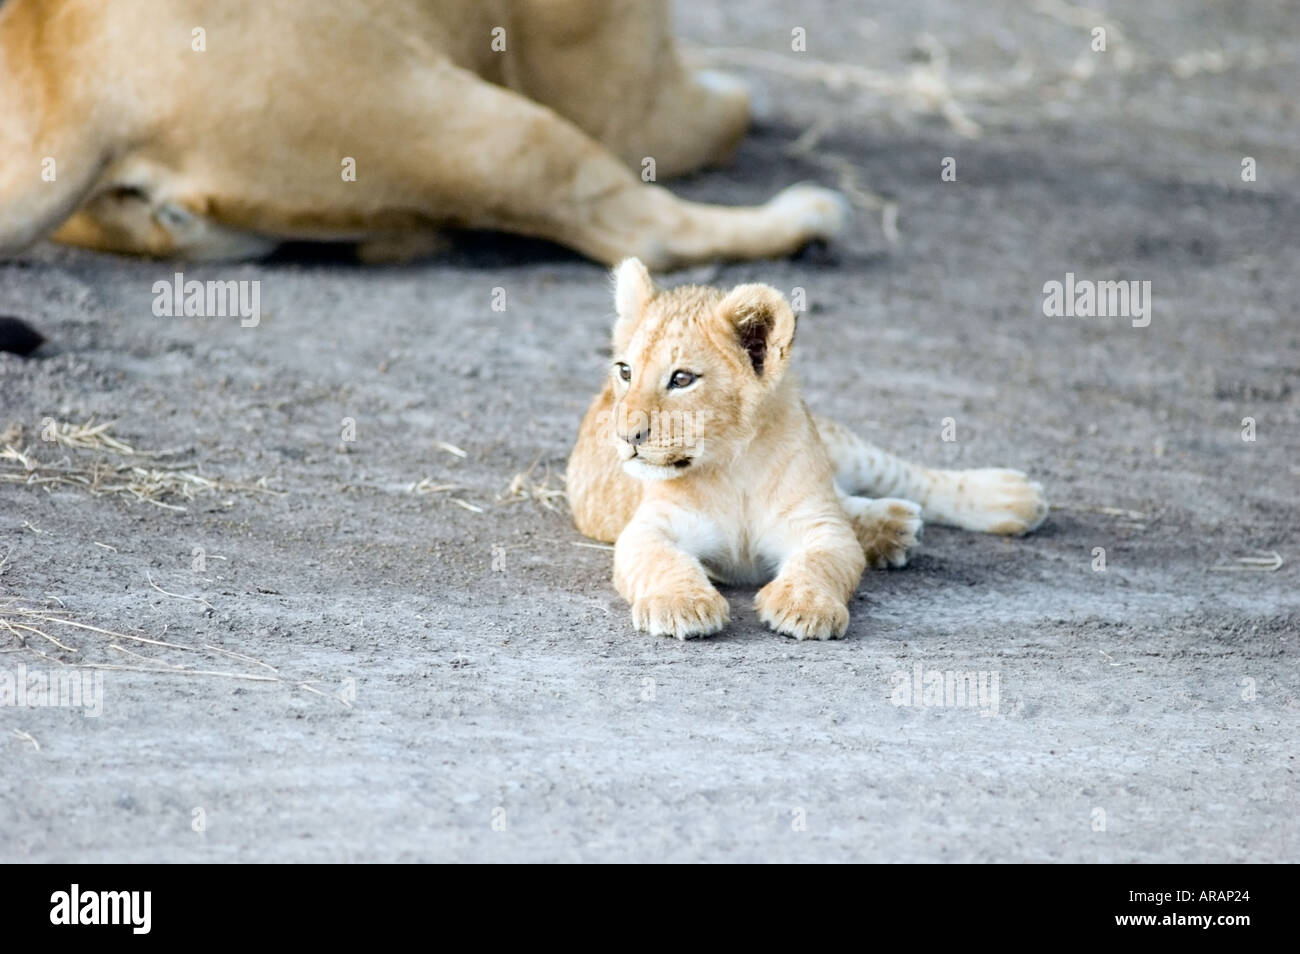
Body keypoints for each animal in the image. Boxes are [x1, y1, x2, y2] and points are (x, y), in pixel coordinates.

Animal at [0, 0, 846, 267]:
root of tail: (87, 80)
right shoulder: (625, 99)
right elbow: (733, 111)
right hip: (488, 126)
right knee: (647, 235)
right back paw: (806, 217)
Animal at [566, 259, 1049, 640]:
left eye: (682, 379)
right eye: (625, 371)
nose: (625, 437)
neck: (733, 465)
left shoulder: (819, 525)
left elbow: (820, 562)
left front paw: (805, 608)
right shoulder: (648, 528)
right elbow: (663, 561)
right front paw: (681, 605)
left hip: (836, 448)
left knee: (902, 476)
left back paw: (1012, 497)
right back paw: (894, 527)